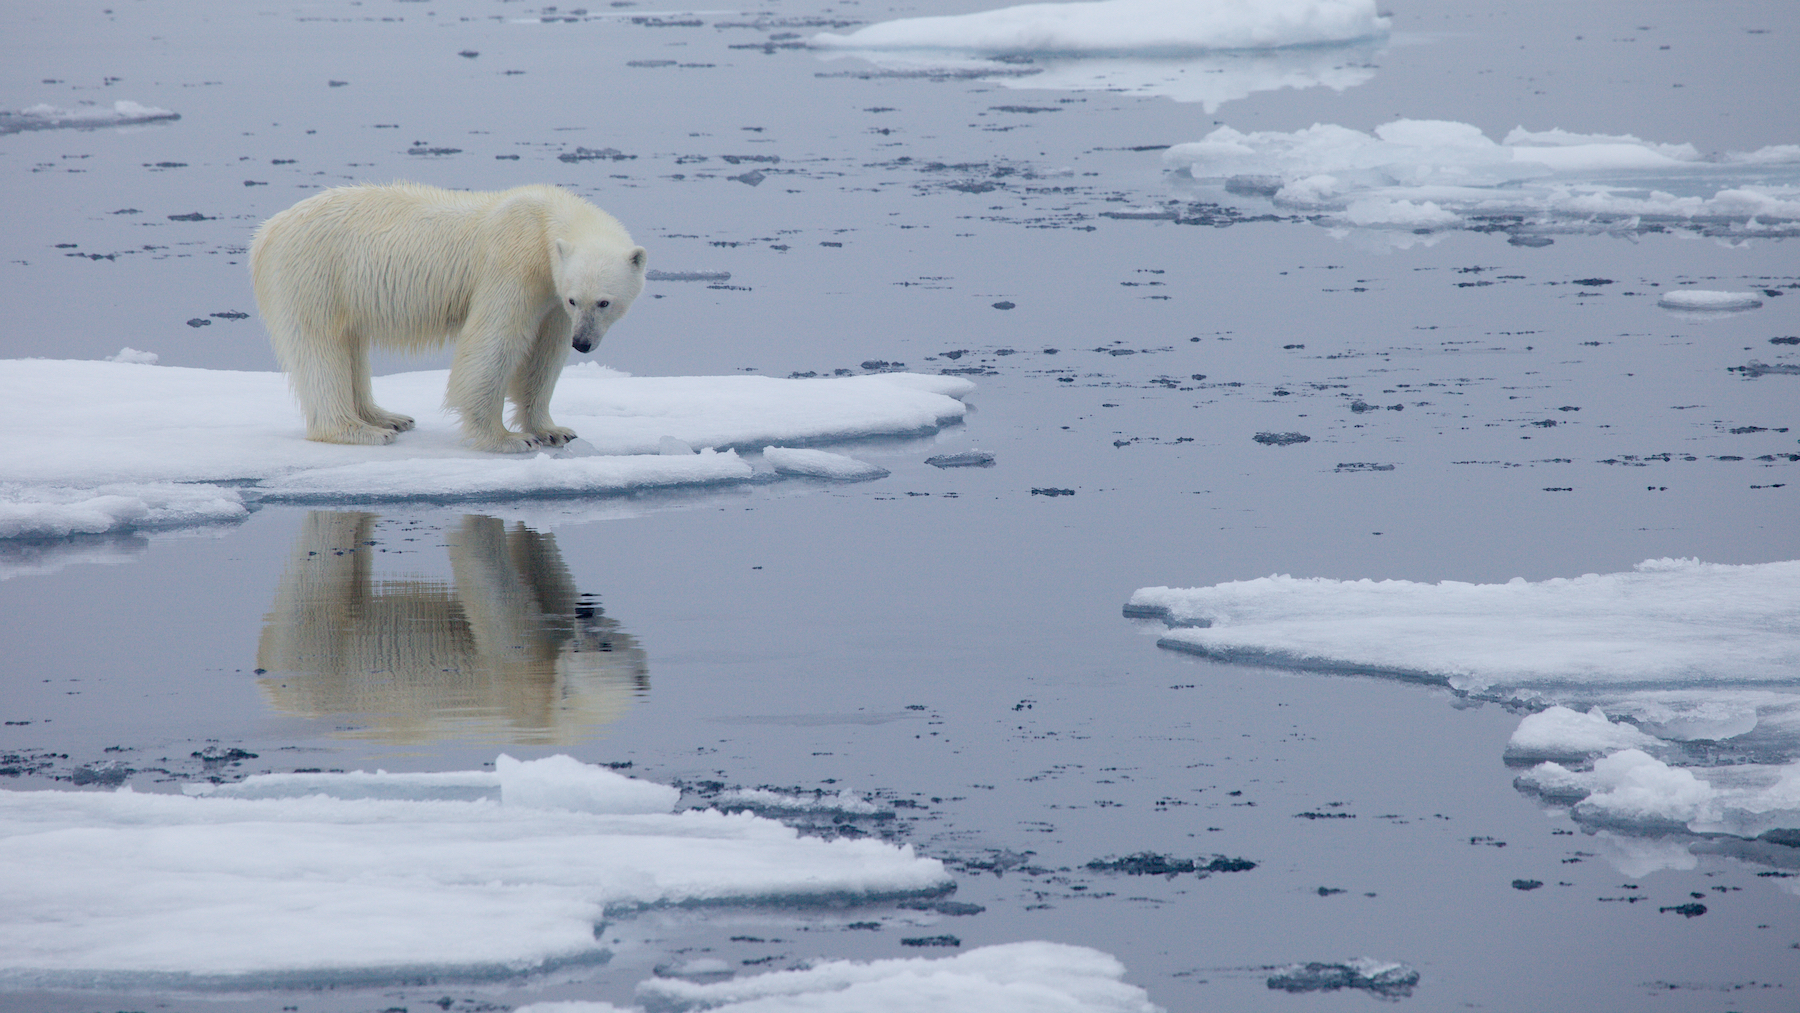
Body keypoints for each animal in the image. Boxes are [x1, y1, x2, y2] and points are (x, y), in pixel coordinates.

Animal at [250, 182, 646, 453]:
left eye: (603, 302)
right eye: (577, 300)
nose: (583, 343)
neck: (542, 221)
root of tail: (267, 230)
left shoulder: (551, 296)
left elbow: (545, 356)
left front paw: (554, 430)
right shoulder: (514, 265)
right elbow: (494, 342)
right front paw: (509, 439)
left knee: (350, 345)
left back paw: (388, 417)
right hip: (315, 273)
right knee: (320, 347)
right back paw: (360, 430)